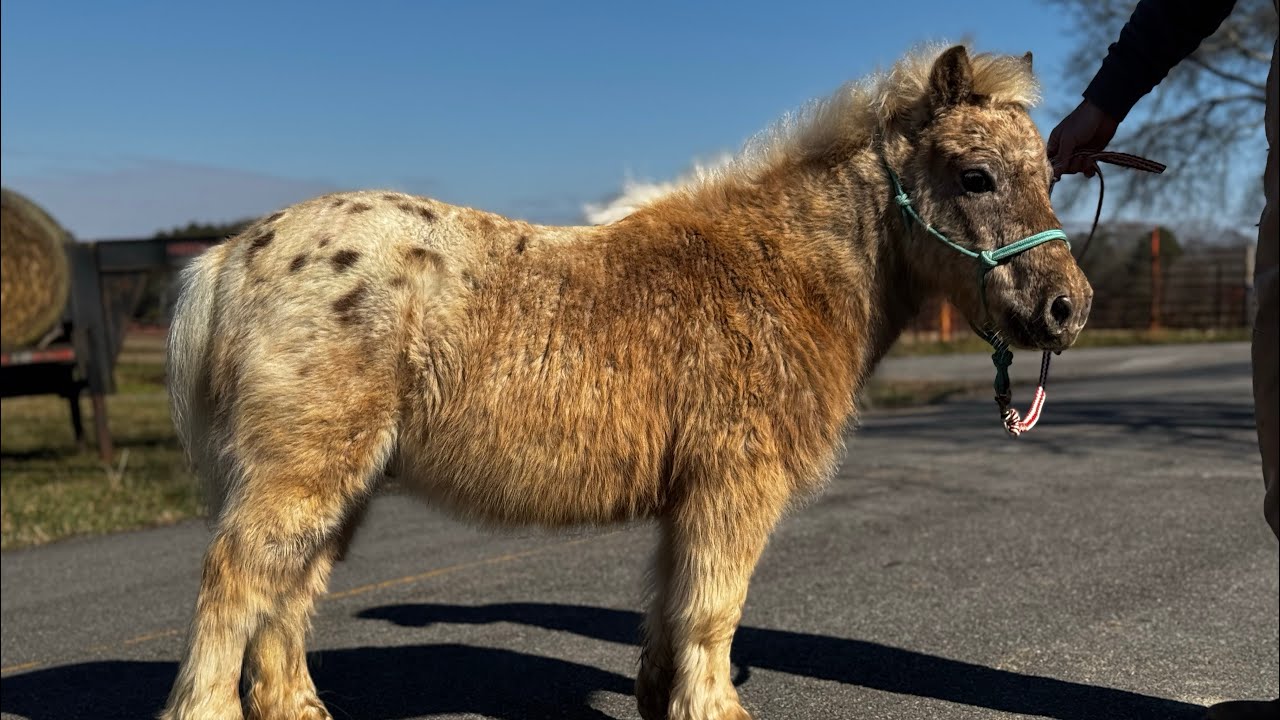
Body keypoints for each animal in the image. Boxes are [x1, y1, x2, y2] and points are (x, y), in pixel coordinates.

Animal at [161, 44, 1091, 720]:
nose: (1066, 308)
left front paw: (663, 700)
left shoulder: (689, 499)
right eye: (975, 175)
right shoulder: (733, 488)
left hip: (339, 486)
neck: (780, 271)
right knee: (238, 585)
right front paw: (714, 712)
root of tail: (228, 258)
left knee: (288, 596)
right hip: (302, 478)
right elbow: (713, 609)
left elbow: (671, 610)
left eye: (1051, 176)